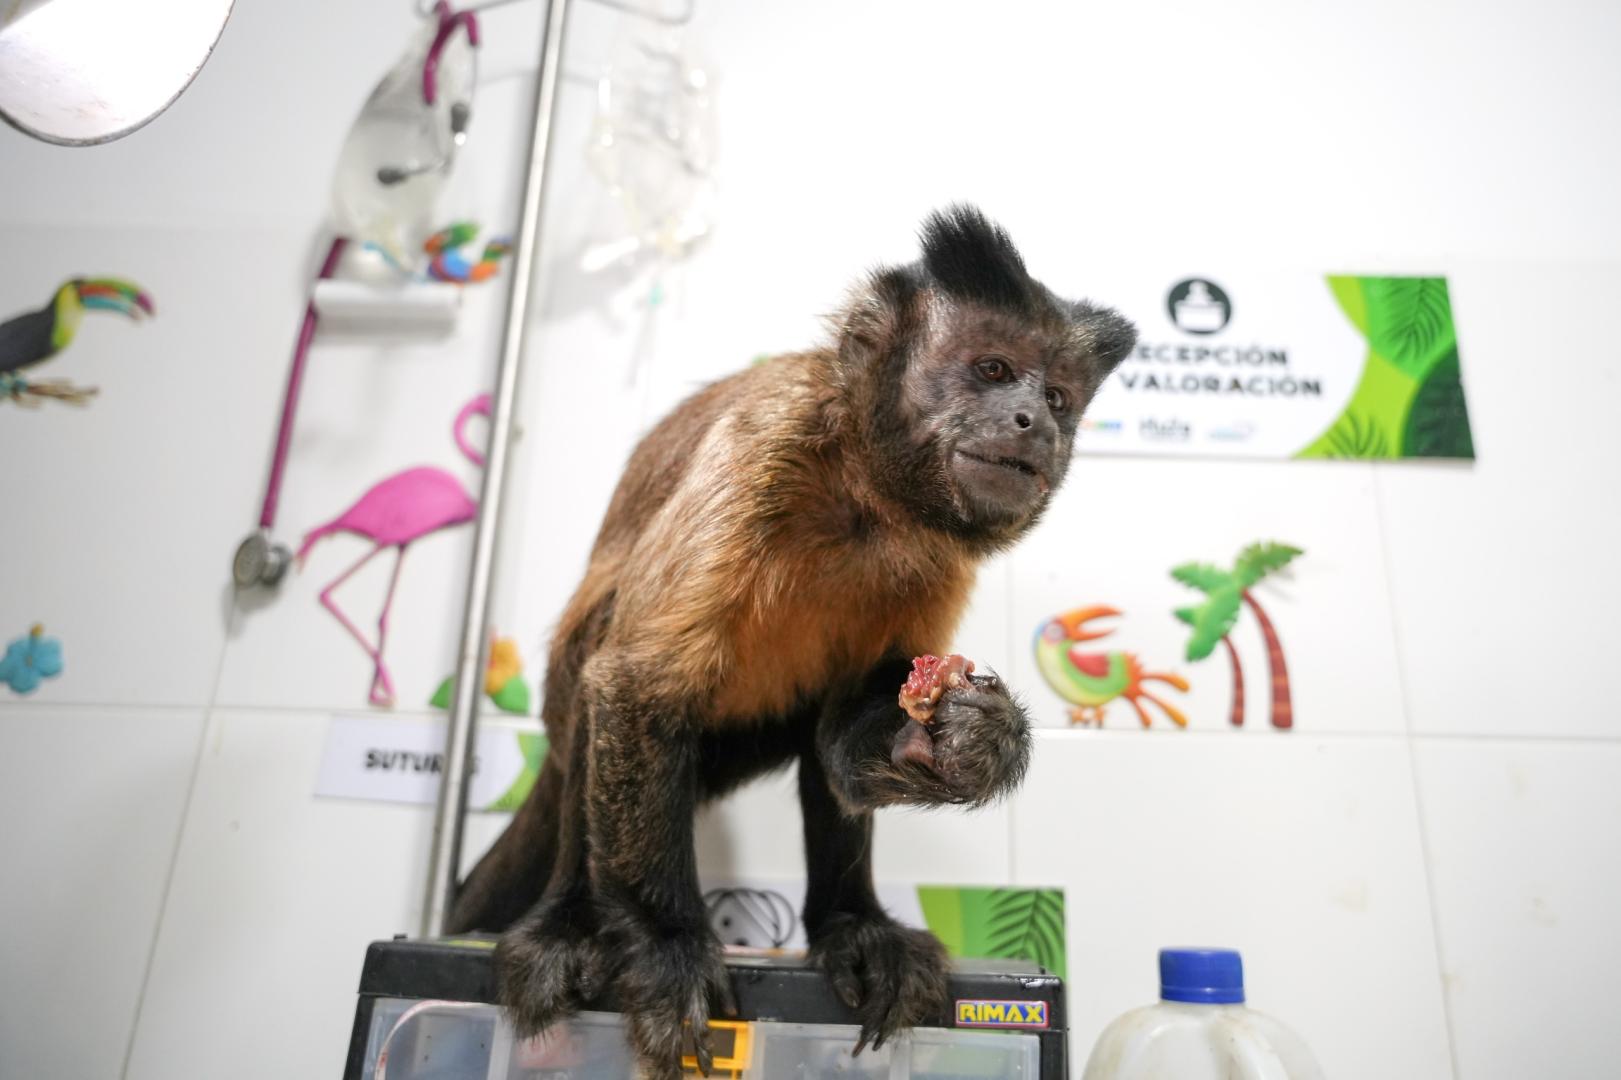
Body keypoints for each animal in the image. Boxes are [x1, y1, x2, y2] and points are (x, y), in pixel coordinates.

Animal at [447, 205, 1137, 1078]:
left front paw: (967, 739)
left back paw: (852, 926)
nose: (1034, 422)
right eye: (991, 369)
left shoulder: (935, 555)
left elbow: (851, 733)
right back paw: (570, 918)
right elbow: (637, 683)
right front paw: (666, 943)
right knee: (603, 672)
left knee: (819, 737)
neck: (864, 498)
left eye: (1054, 395)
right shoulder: (763, 443)